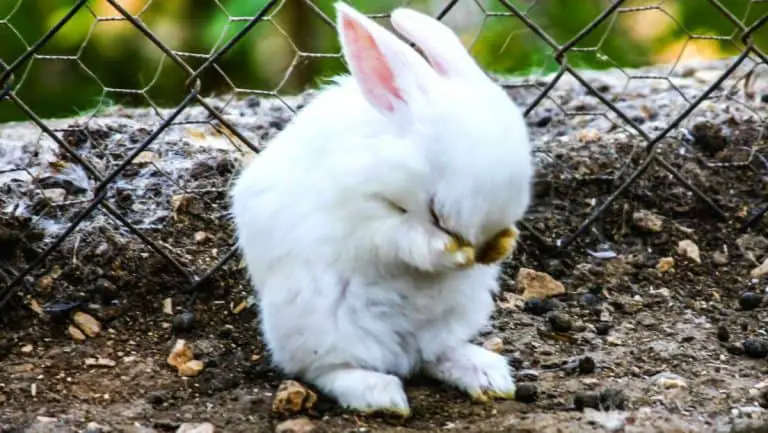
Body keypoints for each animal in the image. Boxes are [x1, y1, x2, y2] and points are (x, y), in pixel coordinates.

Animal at [229, 1, 533, 417]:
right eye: (436, 210)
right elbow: (402, 239)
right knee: (323, 369)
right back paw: (379, 394)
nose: (484, 253)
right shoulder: (367, 220)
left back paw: (486, 374)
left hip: (456, 314)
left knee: (432, 355)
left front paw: (505, 243)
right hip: (322, 324)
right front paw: (446, 251)